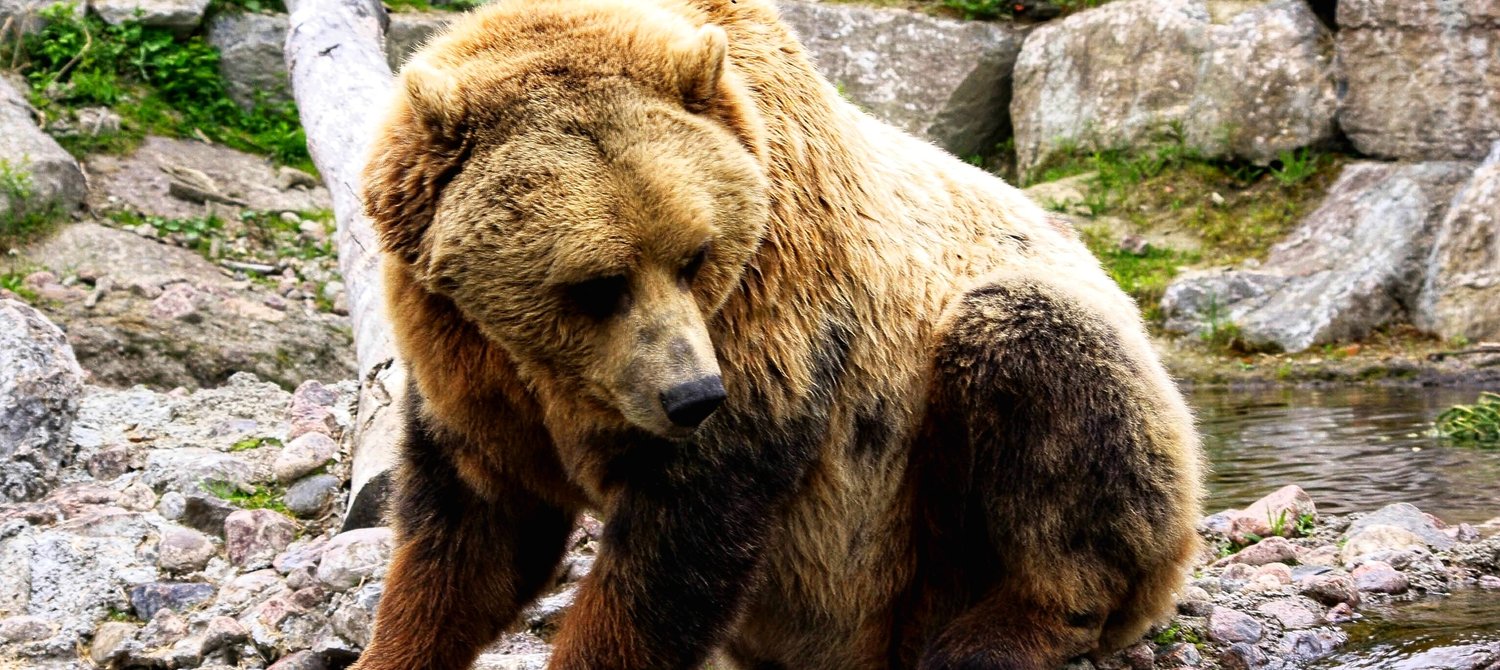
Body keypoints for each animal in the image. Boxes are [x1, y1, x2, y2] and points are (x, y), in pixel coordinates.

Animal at [355, 0, 1205, 668]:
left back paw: (997, 634)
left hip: (958, 495)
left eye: (695, 256)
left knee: (1042, 366)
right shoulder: (472, 371)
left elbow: (679, 544)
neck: (561, 380)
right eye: (596, 285)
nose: (693, 395)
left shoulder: (772, 310)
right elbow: (471, 537)